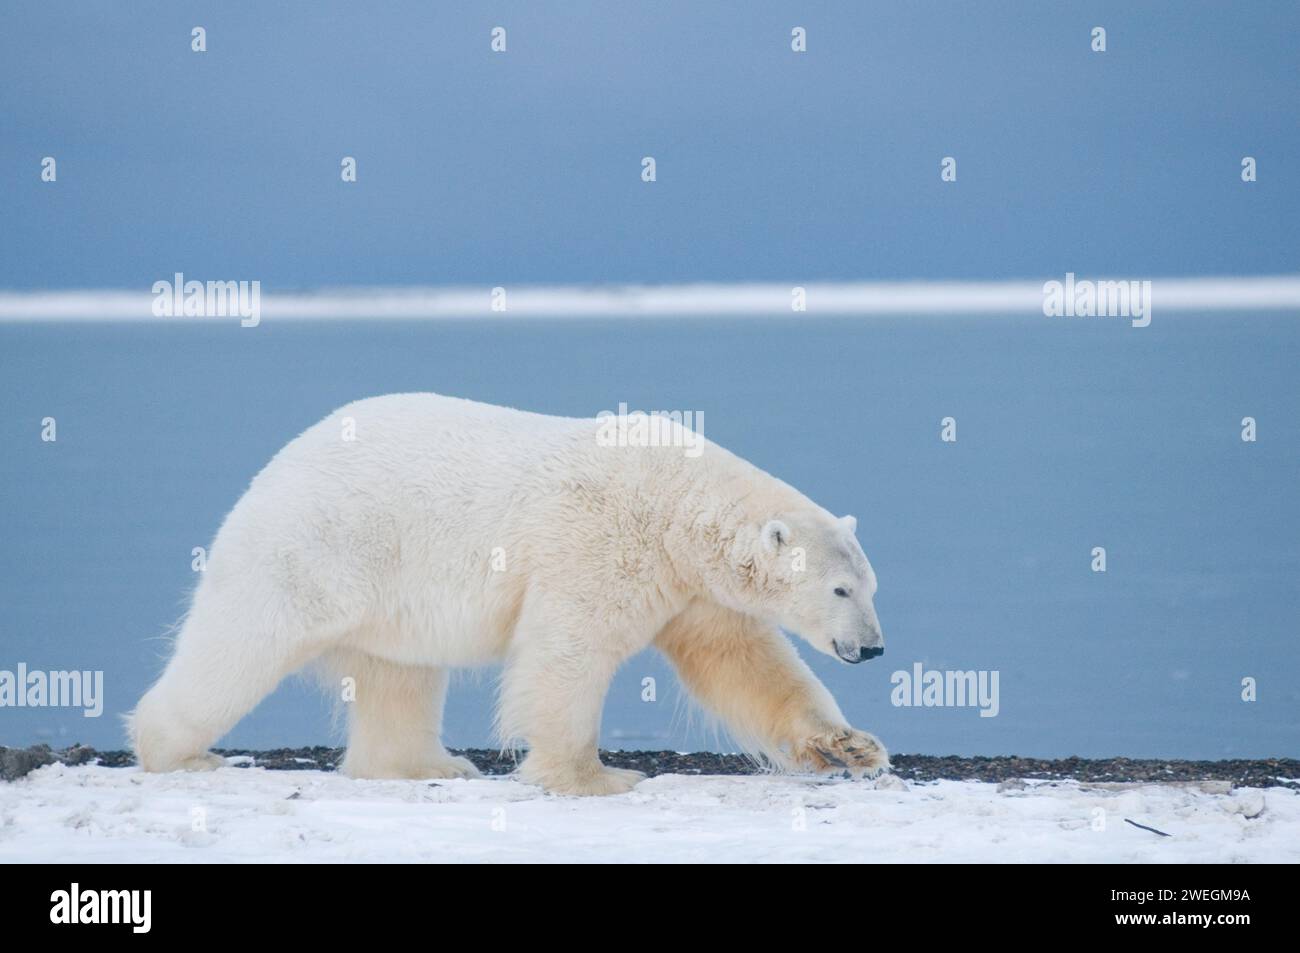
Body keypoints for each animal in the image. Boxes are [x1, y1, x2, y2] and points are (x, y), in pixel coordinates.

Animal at [130, 393, 889, 795]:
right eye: (841, 587)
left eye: (872, 584)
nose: (873, 647)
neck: (673, 499)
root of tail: (273, 467)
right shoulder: (595, 542)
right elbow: (567, 653)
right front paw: (595, 776)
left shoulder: (693, 589)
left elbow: (743, 663)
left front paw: (850, 747)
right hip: (313, 551)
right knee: (240, 646)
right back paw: (182, 751)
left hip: (386, 590)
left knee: (398, 676)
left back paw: (425, 763)